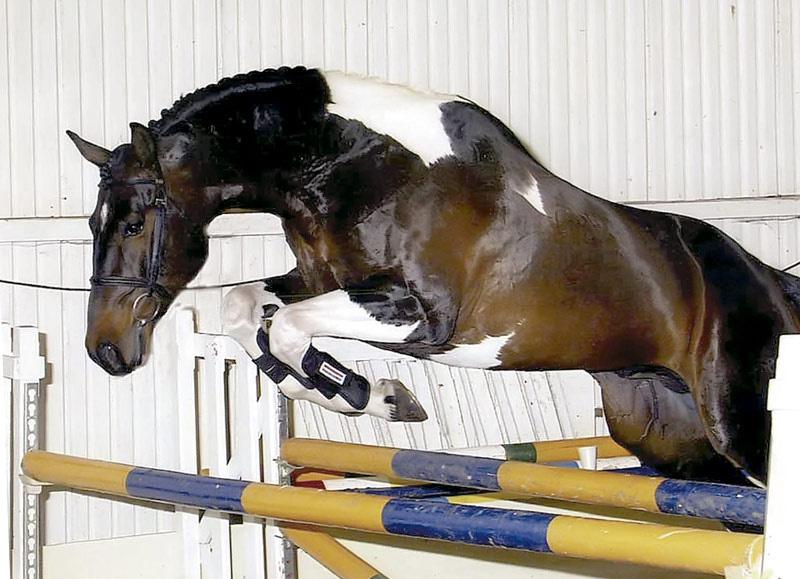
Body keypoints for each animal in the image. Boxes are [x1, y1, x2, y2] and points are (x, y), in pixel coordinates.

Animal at [68, 66, 800, 486]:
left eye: (132, 225)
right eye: (94, 223)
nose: (105, 351)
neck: (356, 167)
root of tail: (774, 286)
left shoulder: (423, 315)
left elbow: (292, 329)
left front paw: (370, 393)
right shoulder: (322, 278)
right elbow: (247, 309)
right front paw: (358, 392)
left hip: (739, 425)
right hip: (670, 435)